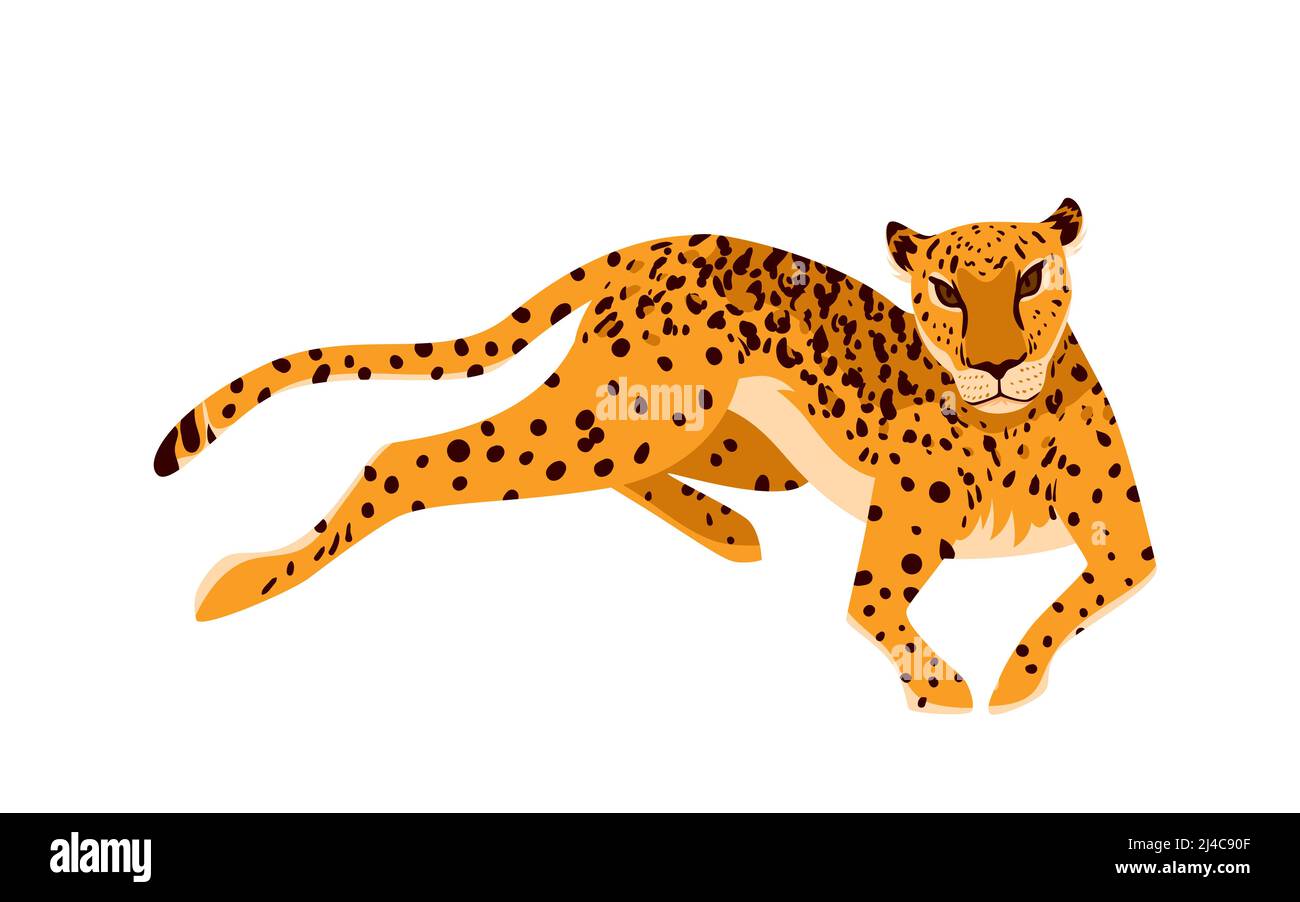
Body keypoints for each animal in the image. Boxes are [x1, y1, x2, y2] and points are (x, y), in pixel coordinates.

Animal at [154, 198, 1155, 713]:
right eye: (943, 289)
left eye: (1032, 277)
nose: (997, 364)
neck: (1011, 425)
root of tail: (644, 243)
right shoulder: (890, 557)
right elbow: (877, 612)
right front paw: (952, 688)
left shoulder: (1131, 547)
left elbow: (1077, 601)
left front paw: (1017, 678)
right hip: (621, 423)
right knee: (408, 455)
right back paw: (242, 583)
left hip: (693, 434)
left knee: (624, 477)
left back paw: (731, 529)